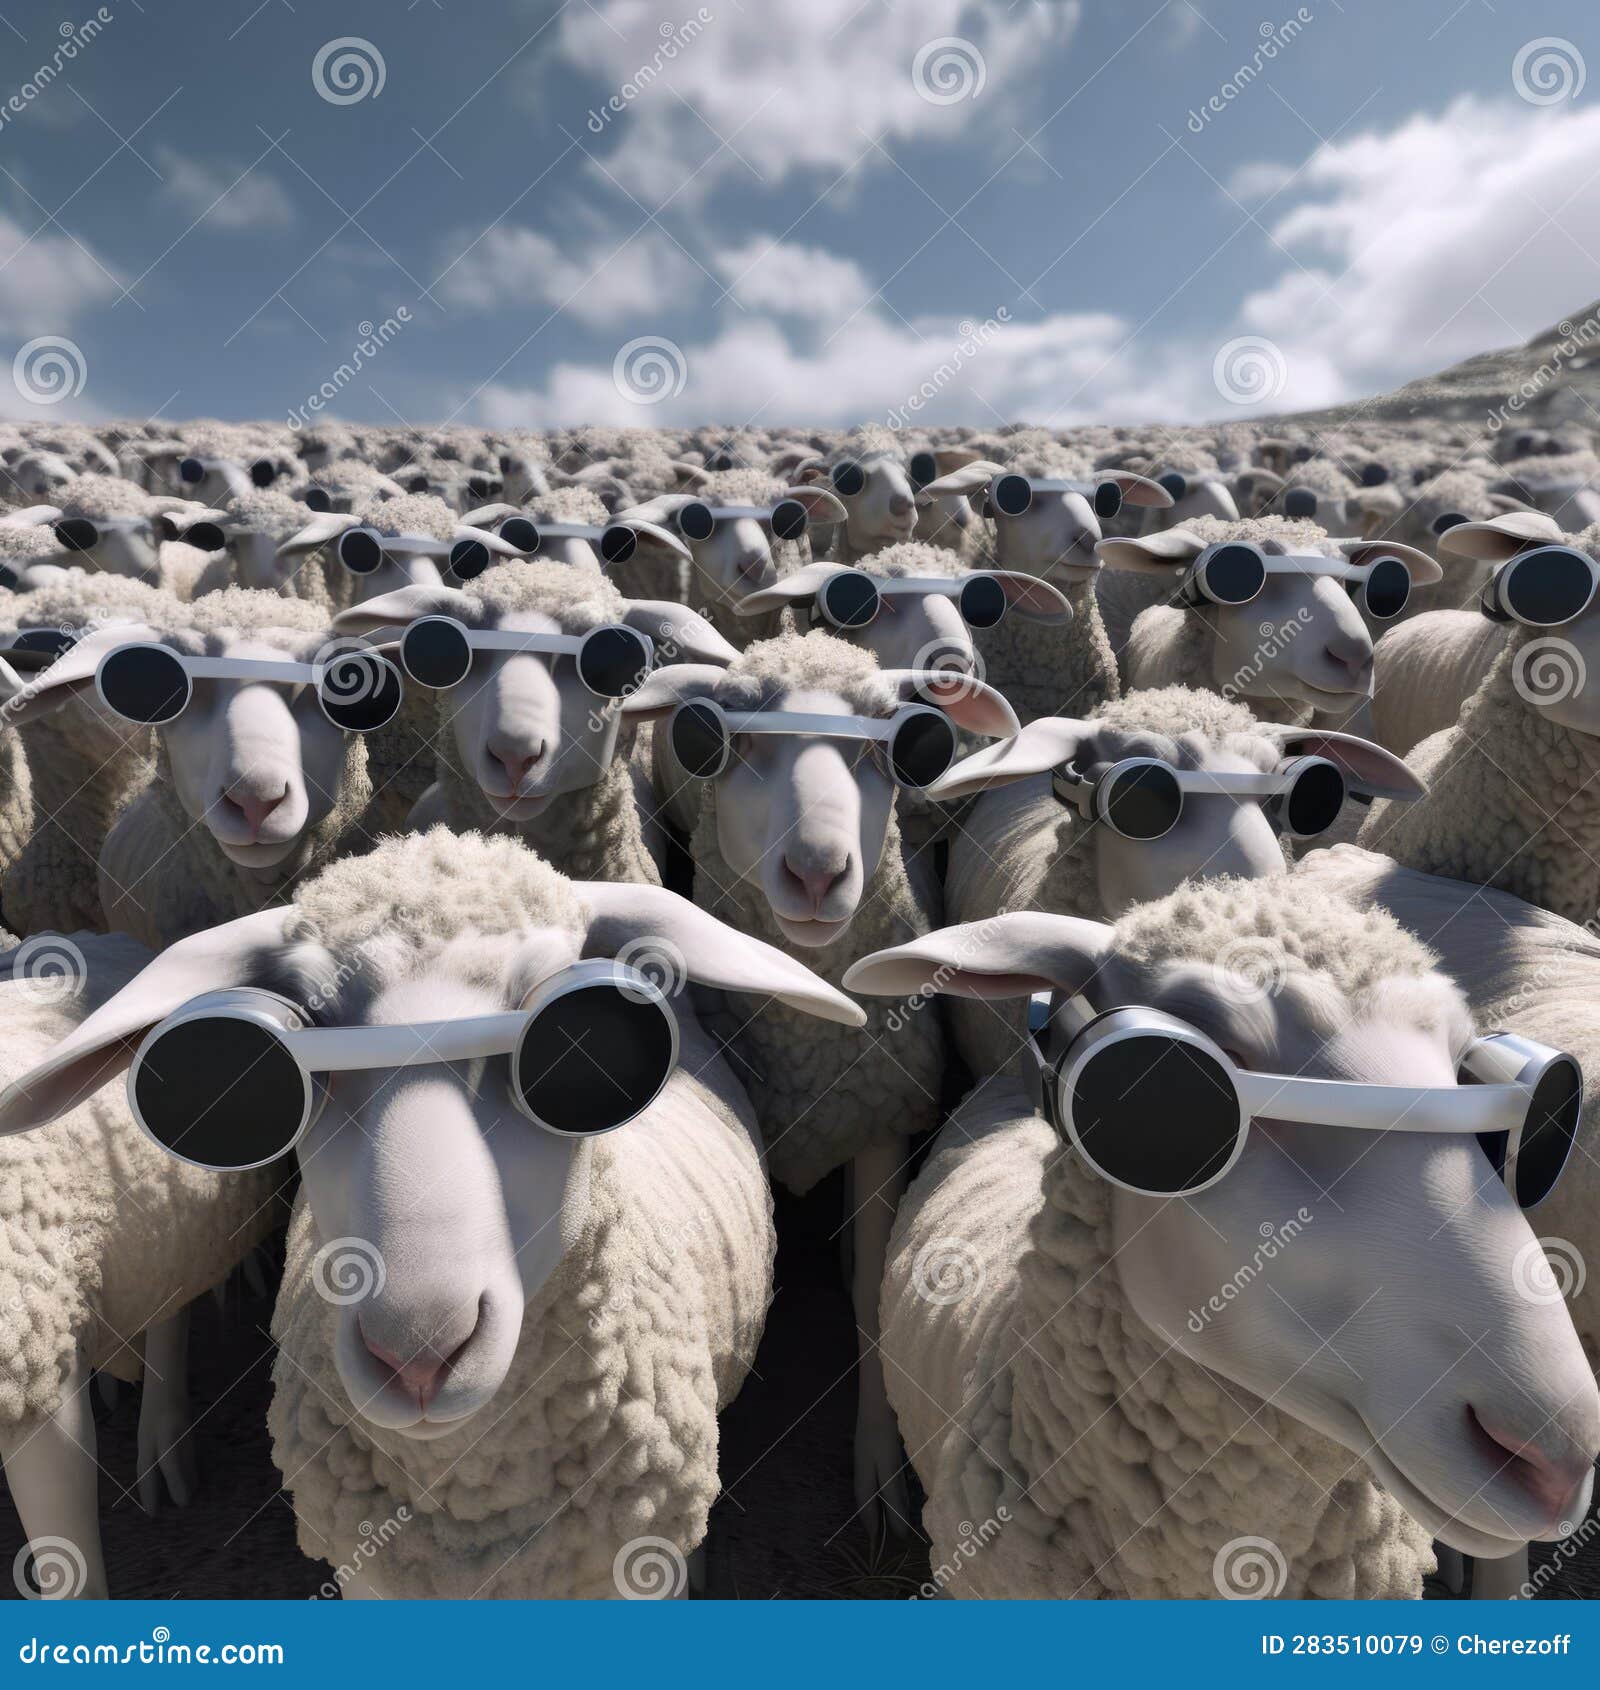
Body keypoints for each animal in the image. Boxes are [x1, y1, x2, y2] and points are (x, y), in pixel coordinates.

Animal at [625, 630, 1019, 1534]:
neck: (808, 1038)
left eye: (900, 747)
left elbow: (875, 1293)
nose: (816, 872)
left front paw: (880, 1475)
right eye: (723, 739)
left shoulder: (881, 1118)